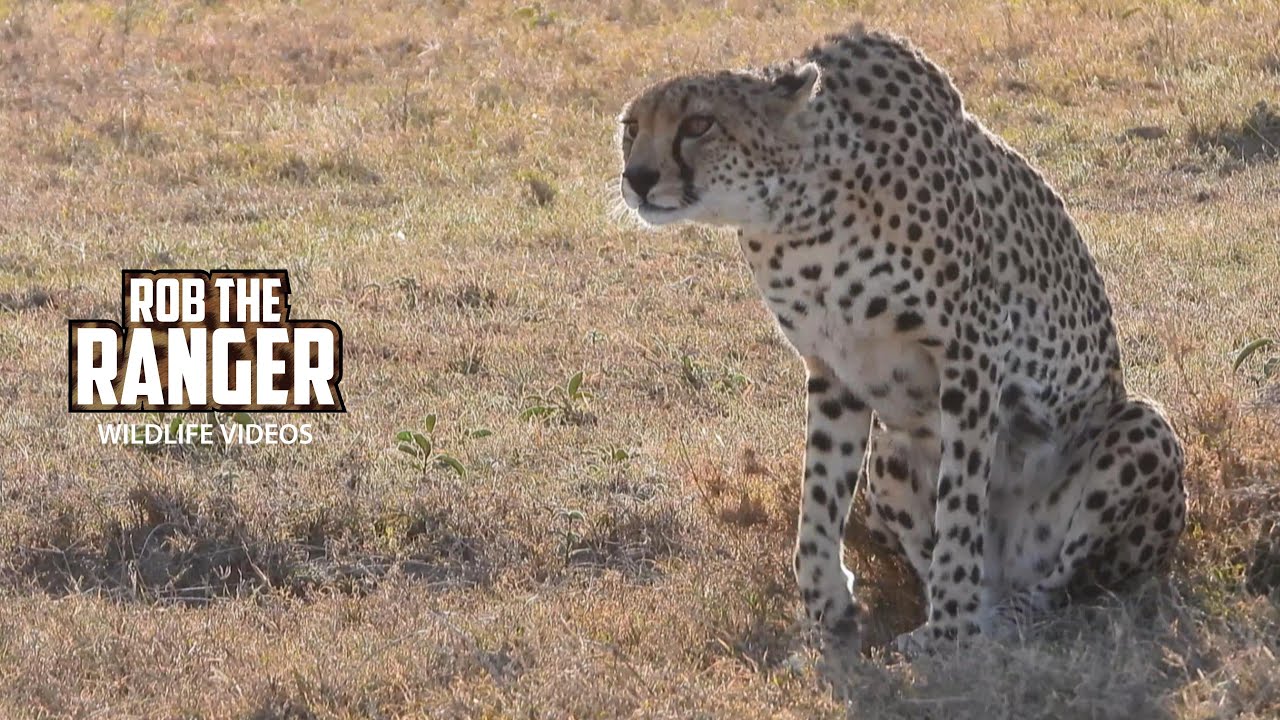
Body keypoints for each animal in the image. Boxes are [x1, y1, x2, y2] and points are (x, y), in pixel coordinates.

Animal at [614, 25, 1187, 659]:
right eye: (631, 127)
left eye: (699, 124)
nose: (637, 179)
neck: (796, 211)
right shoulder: (834, 368)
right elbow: (818, 499)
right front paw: (826, 612)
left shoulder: (972, 349)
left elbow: (960, 504)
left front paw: (948, 632)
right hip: (889, 455)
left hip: (1141, 427)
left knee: (1056, 584)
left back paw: (997, 618)